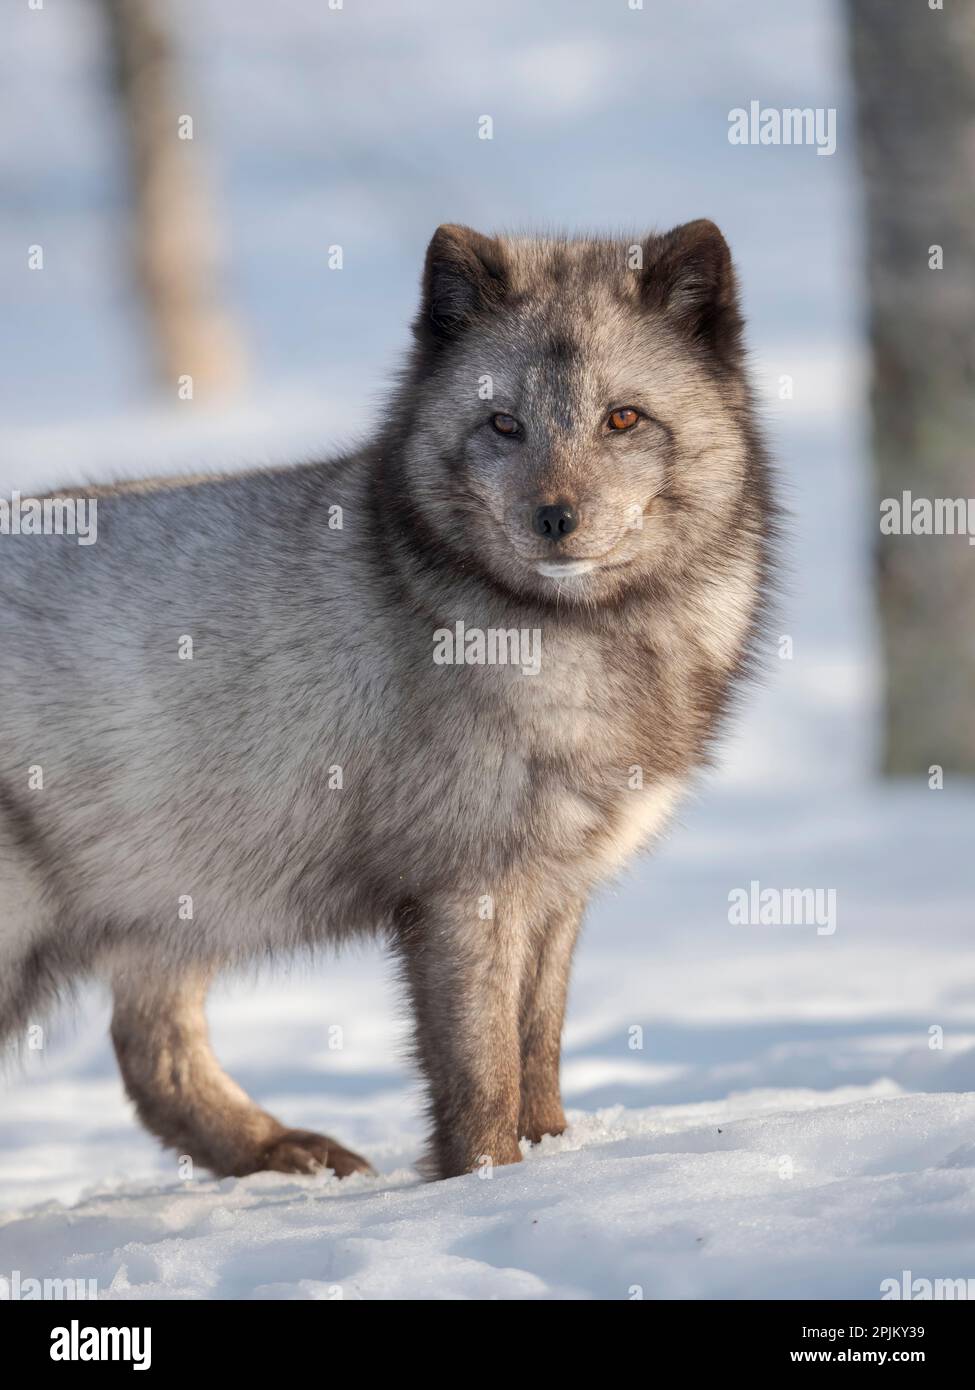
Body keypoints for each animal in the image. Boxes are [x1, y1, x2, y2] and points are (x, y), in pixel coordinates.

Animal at [0, 221, 774, 1182]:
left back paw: (287, 1153)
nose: (554, 519)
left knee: (151, 1056)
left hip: (168, 900)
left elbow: (538, 1042)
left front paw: (555, 1155)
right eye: (502, 423)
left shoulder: (557, 882)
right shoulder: (461, 882)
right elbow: (480, 1062)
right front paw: (488, 1178)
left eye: (623, 418)